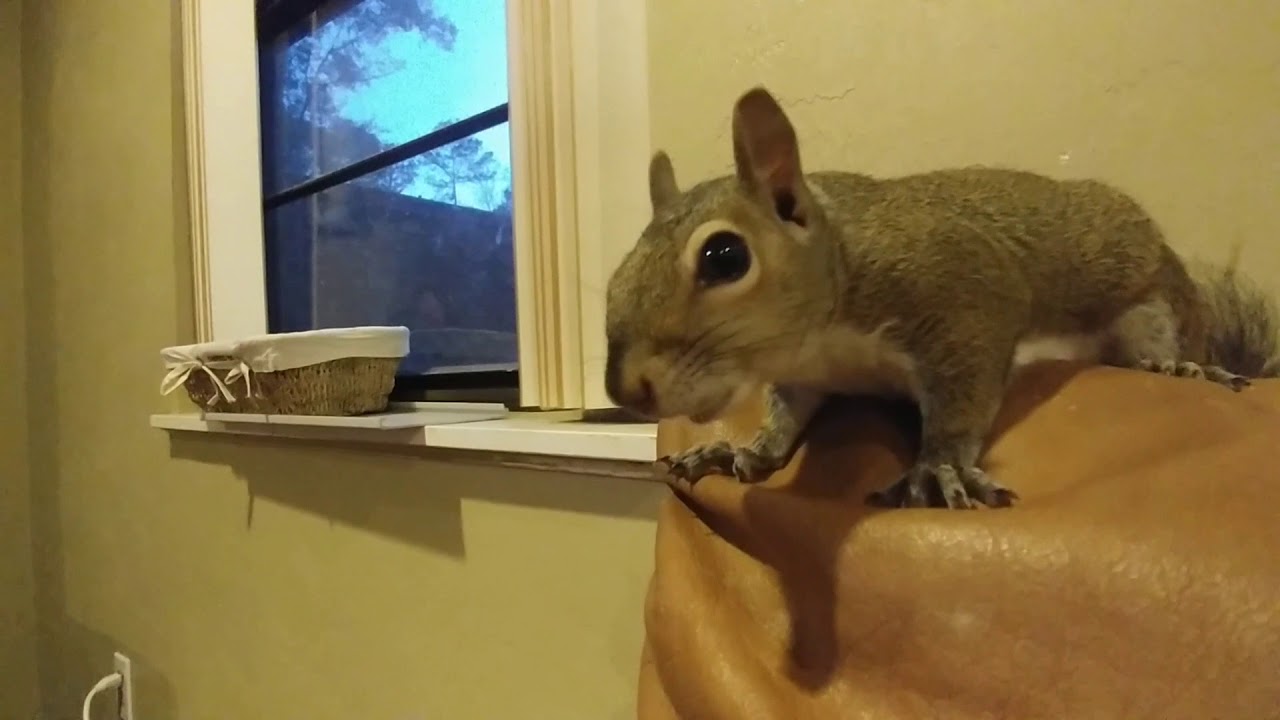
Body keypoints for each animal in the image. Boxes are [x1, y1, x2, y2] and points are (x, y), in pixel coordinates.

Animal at [602, 85, 1280, 510]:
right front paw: (741, 450)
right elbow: (785, 421)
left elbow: (964, 393)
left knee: (1156, 343)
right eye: (618, 270)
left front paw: (940, 465)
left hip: (1149, 302)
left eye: (726, 257)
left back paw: (1183, 366)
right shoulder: (804, 377)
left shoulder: (964, 298)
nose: (624, 388)